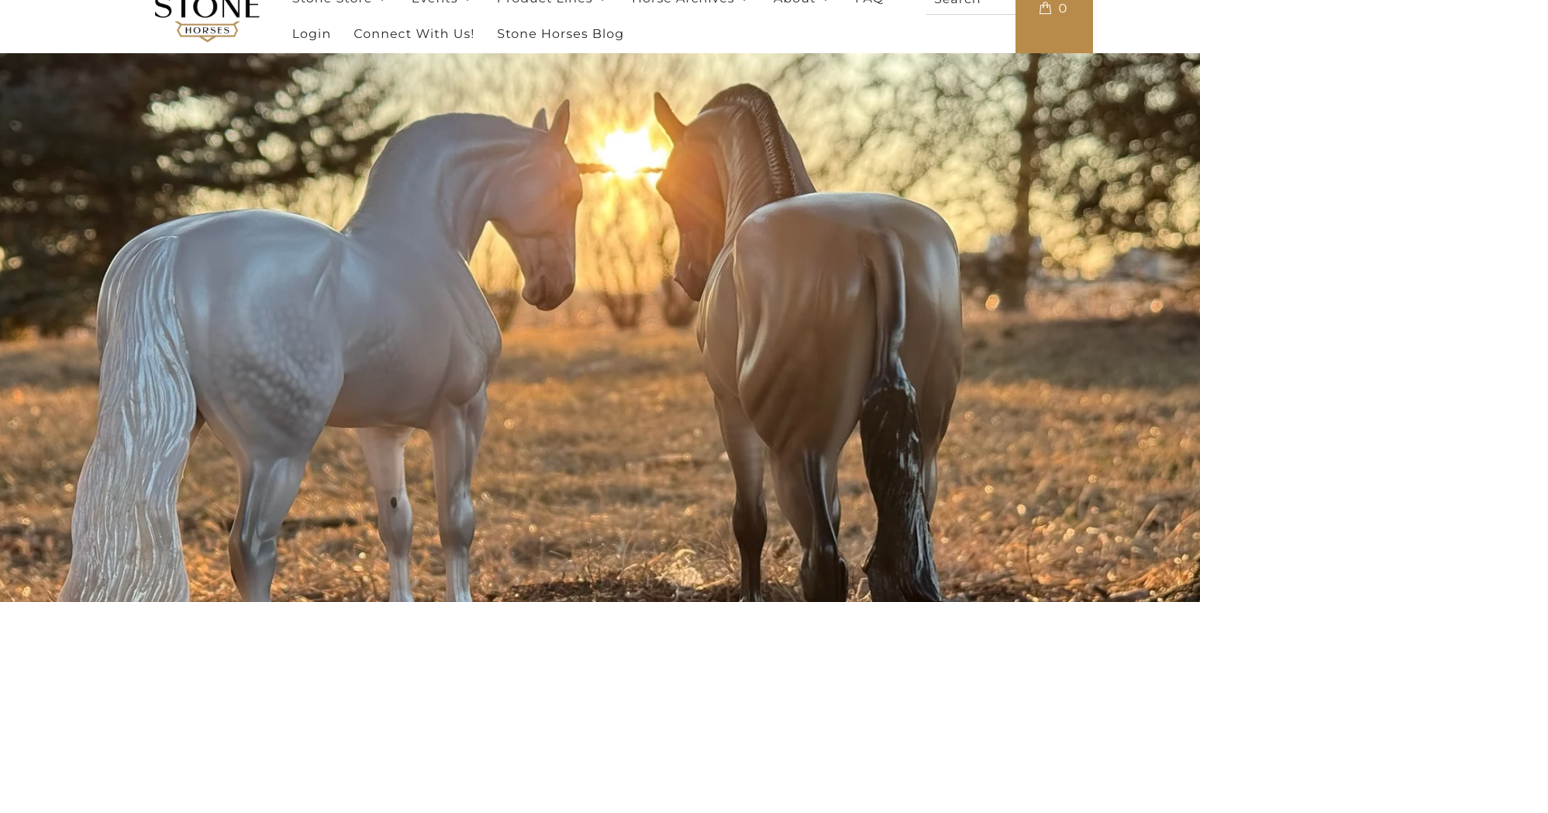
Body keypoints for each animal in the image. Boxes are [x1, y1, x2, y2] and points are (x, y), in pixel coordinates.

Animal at [59, 104, 582, 602]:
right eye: (570, 192)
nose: (555, 288)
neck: (425, 246)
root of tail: (169, 250)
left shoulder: (382, 431)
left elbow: (396, 524)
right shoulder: (461, 413)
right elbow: (457, 522)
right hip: (276, 455)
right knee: (251, 549)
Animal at [652, 85, 963, 602]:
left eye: (668, 186)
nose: (687, 276)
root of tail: (877, 239)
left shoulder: (730, 410)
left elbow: (749, 521)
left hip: (798, 453)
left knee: (822, 562)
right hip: (926, 452)